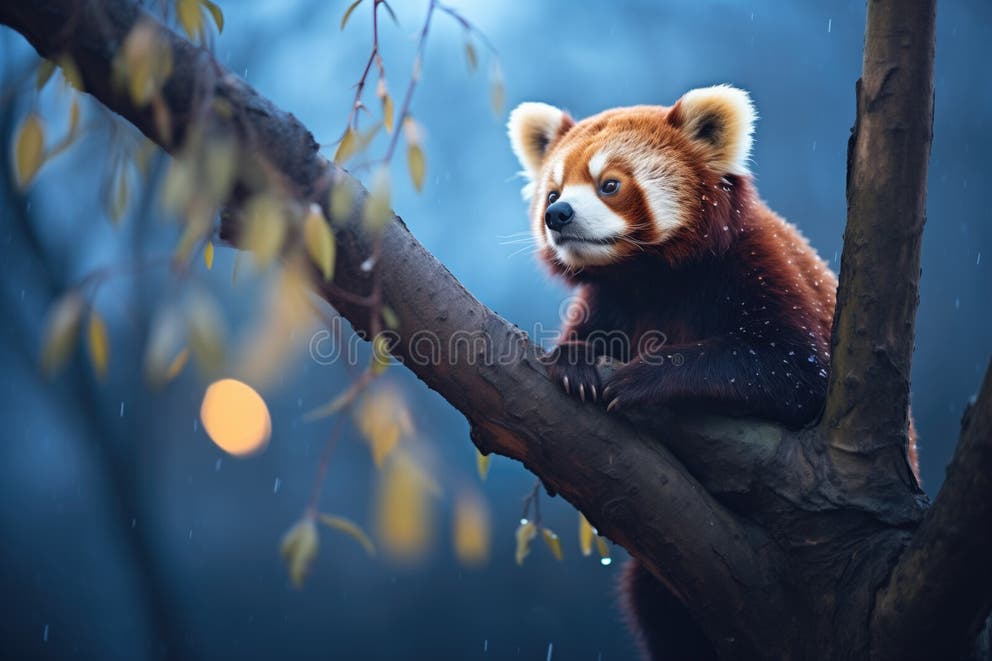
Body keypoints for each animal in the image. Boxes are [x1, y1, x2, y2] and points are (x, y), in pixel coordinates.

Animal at [507, 85, 917, 660]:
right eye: (552, 193)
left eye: (610, 185)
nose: (559, 215)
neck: (653, 276)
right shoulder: (613, 298)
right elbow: (585, 336)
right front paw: (576, 363)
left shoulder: (759, 268)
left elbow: (796, 371)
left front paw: (645, 377)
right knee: (655, 608)